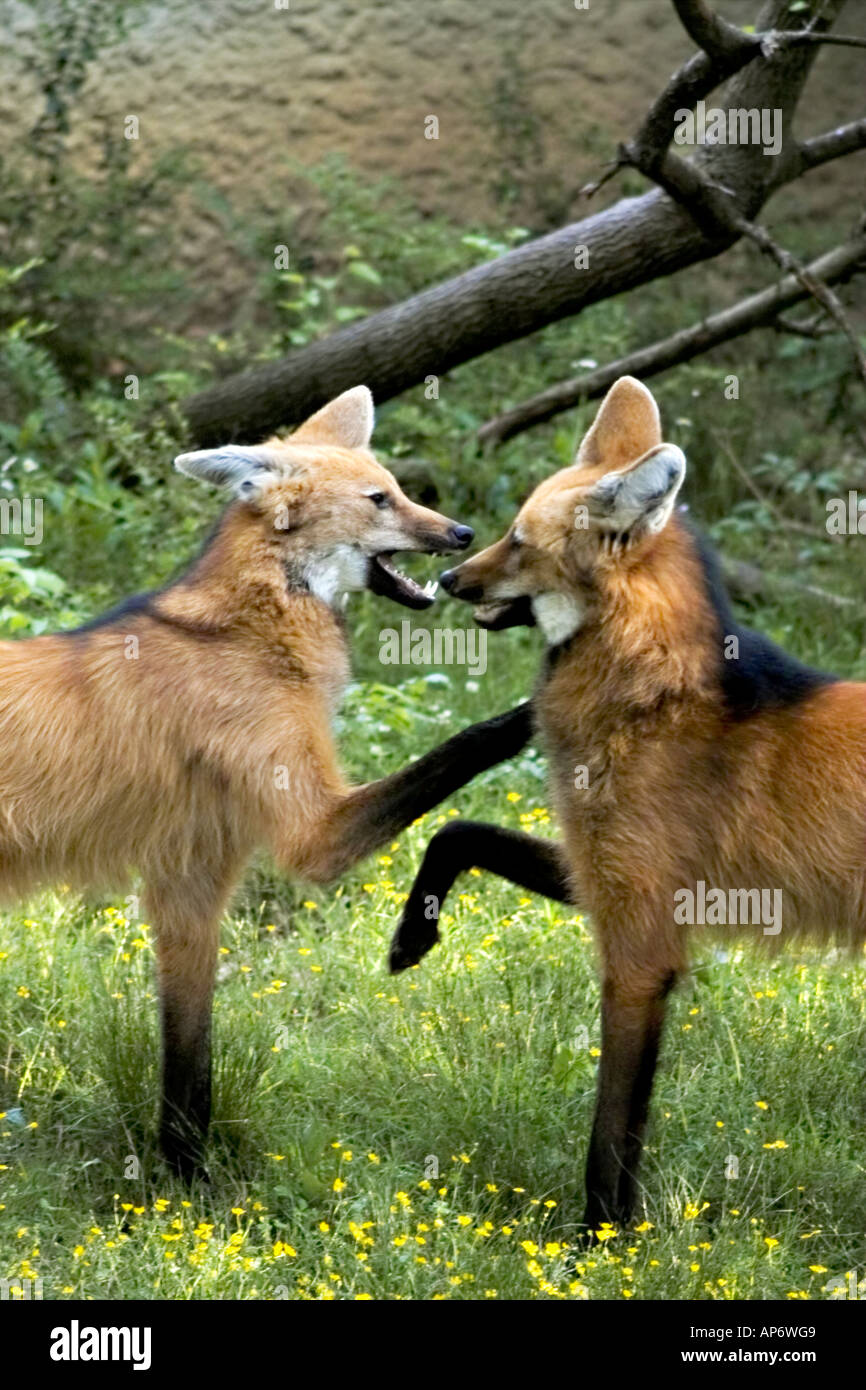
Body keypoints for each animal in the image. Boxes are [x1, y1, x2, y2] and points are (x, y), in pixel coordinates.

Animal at [0, 389, 530, 1173]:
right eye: (381, 499)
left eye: (399, 488)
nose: (462, 532)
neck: (256, 630)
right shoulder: (311, 835)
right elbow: (467, 742)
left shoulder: (190, 884)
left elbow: (189, 1068)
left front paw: (183, 1181)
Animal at [391, 375, 866, 1234]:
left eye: (518, 540)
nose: (449, 579)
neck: (650, 695)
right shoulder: (607, 876)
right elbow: (456, 829)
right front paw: (412, 936)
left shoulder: (641, 949)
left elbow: (611, 1132)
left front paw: (600, 1240)